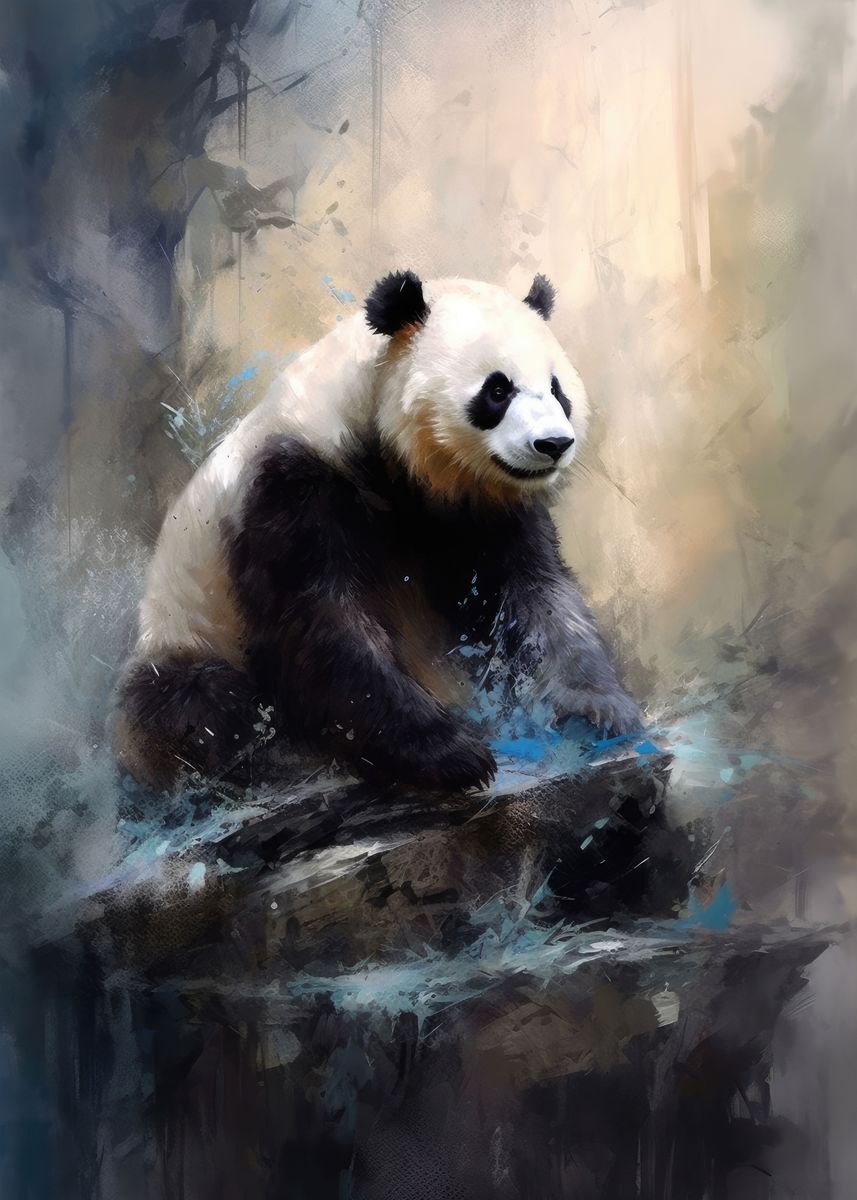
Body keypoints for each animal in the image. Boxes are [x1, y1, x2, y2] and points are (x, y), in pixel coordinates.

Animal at [117, 271, 642, 791]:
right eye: (498, 390)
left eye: (557, 390)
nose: (553, 444)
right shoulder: (291, 486)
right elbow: (324, 625)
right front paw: (452, 753)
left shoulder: (479, 508)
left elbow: (532, 595)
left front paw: (597, 709)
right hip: (183, 635)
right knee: (199, 705)